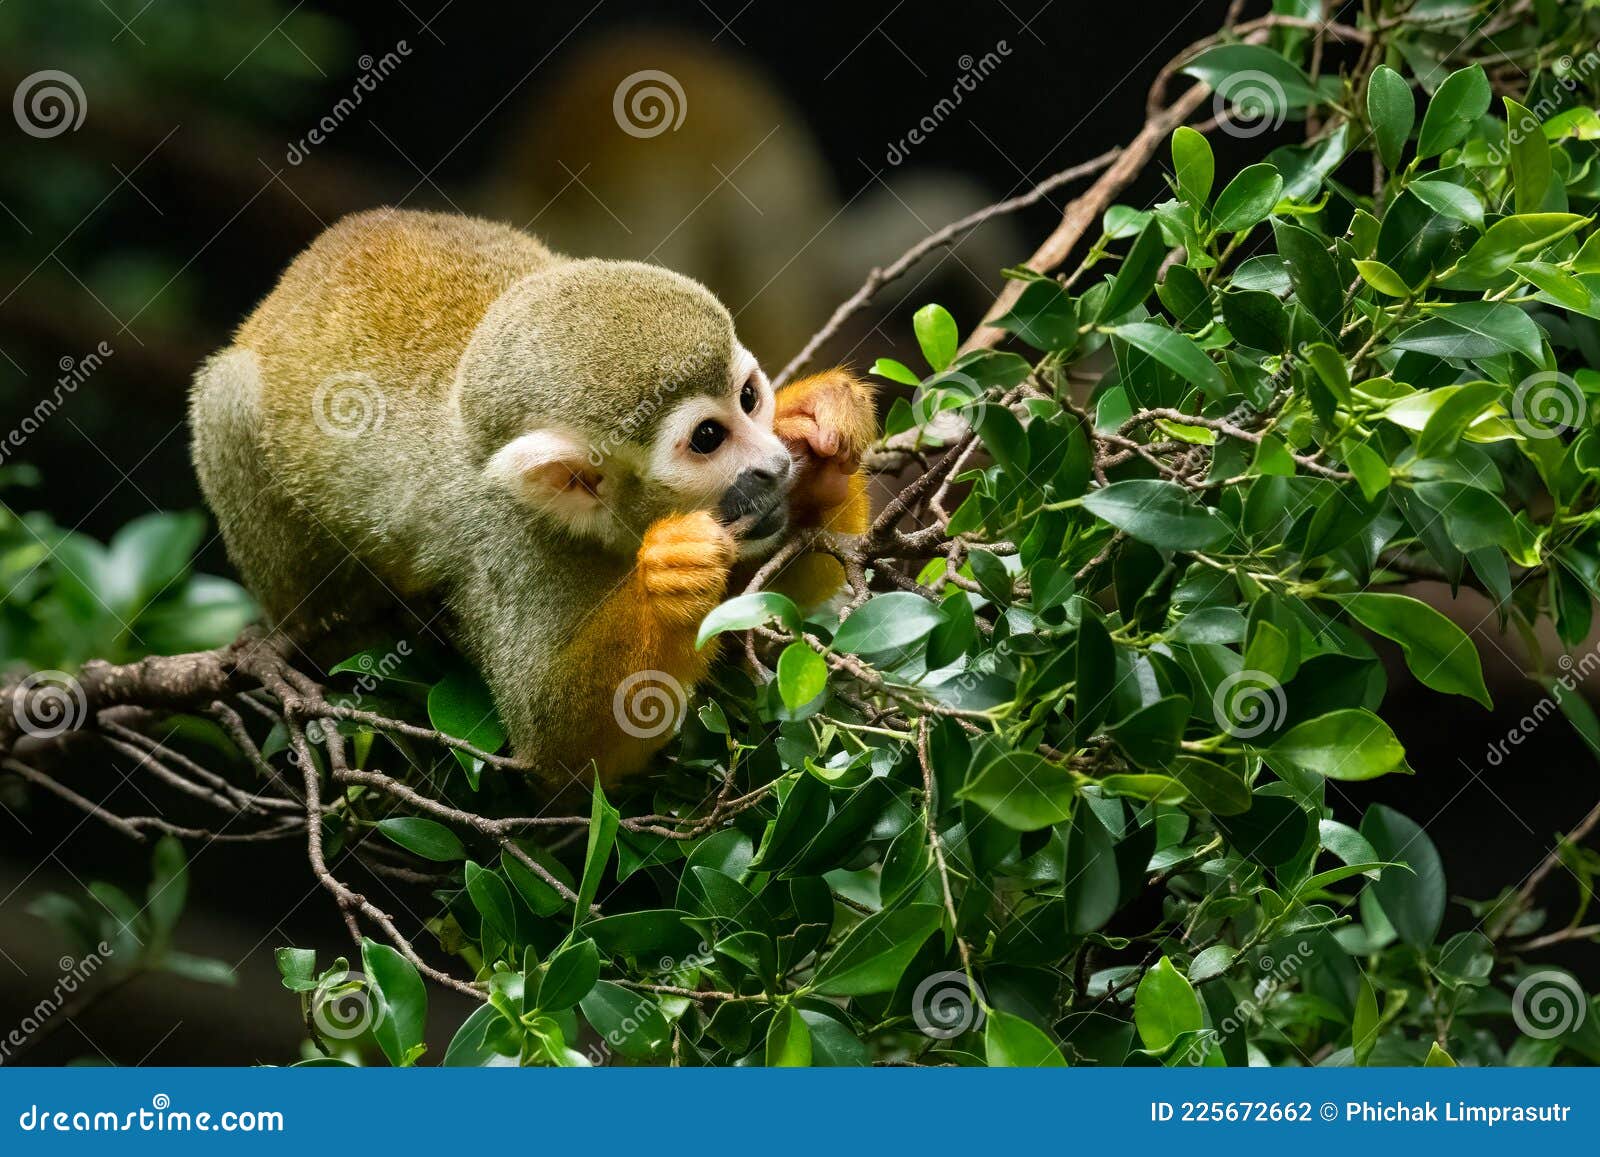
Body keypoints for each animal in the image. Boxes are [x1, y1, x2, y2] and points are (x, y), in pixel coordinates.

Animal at [189, 208, 875, 789]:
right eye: (708, 439)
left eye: (750, 398)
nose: (771, 467)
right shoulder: (507, 541)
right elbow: (561, 745)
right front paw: (670, 578)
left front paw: (819, 434)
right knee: (227, 400)